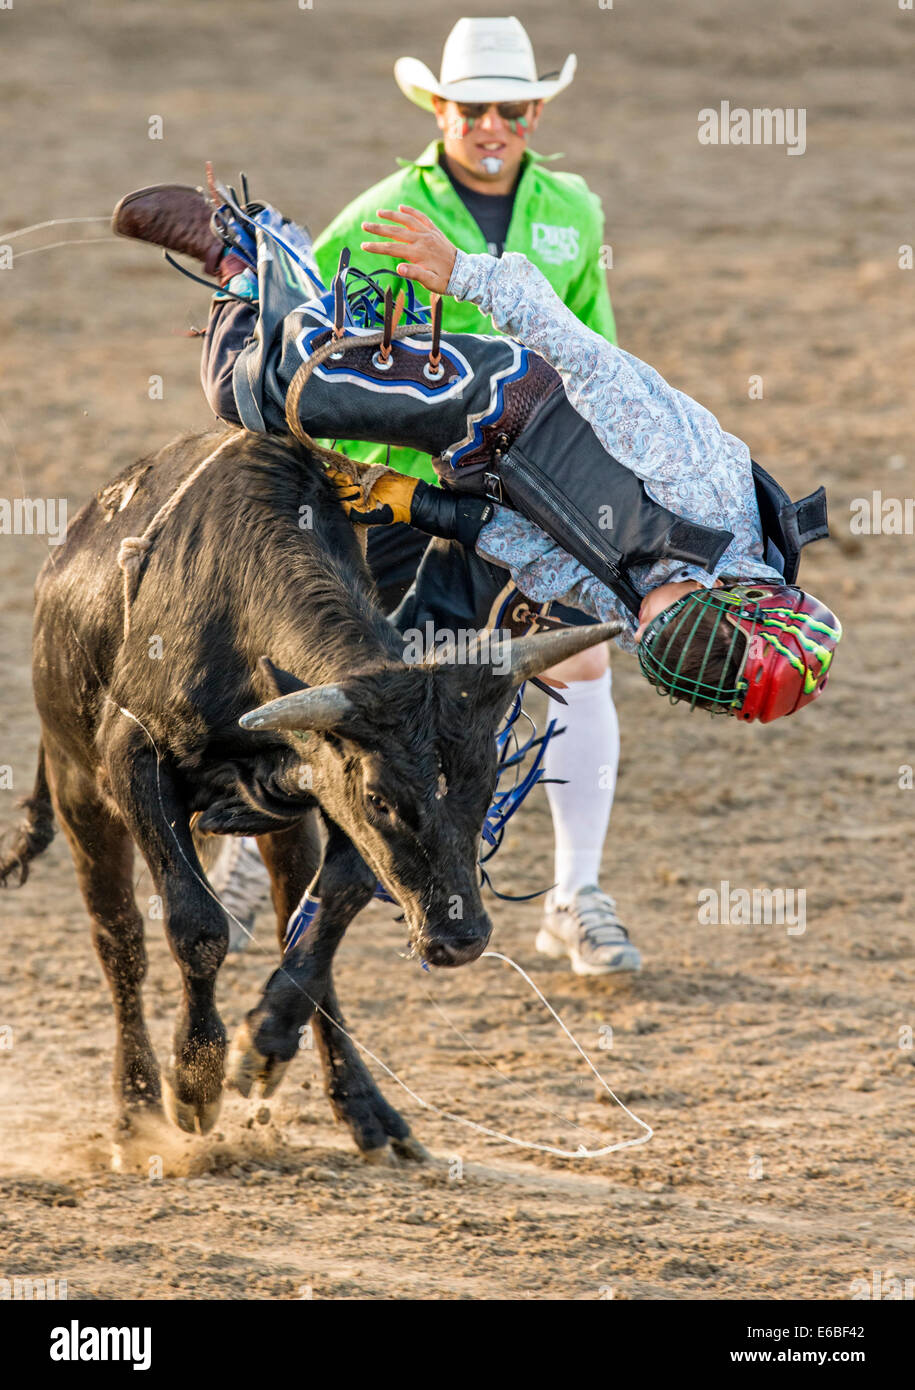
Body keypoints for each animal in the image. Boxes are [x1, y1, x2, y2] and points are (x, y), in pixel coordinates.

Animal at [1, 427, 614, 1162]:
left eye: (488, 784)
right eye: (381, 799)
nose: (462, 938)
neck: (236, 609)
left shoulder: (322, 784)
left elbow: (335, 905)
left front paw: (264, 1042)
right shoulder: (133, 761)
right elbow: (196, 926)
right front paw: (195, 1082)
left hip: (281, 828)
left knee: (291, 910)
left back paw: (361, 1106)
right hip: (77, 787)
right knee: (118, 940)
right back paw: (135, 1107)